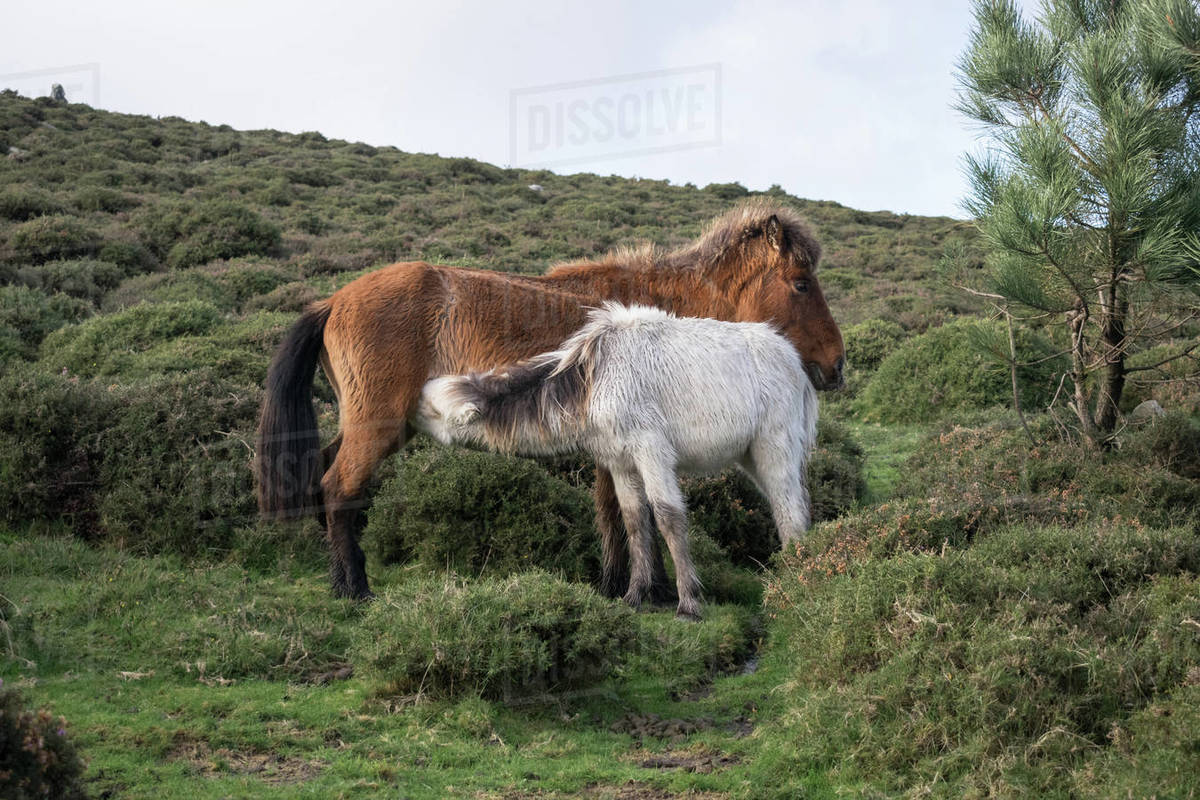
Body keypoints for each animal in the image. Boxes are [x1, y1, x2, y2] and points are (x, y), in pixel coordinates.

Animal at [417, 302, 819, 620]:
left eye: (433, 411)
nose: (407, 420)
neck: (591, 381)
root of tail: (795, 363)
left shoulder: (651, 450)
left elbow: (668, 518)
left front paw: (689, 603)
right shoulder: (621, 463)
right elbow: (635, 520)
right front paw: (634, 596)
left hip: (775, 447)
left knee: (788, 511)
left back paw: (793, 582)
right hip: (750, 457)